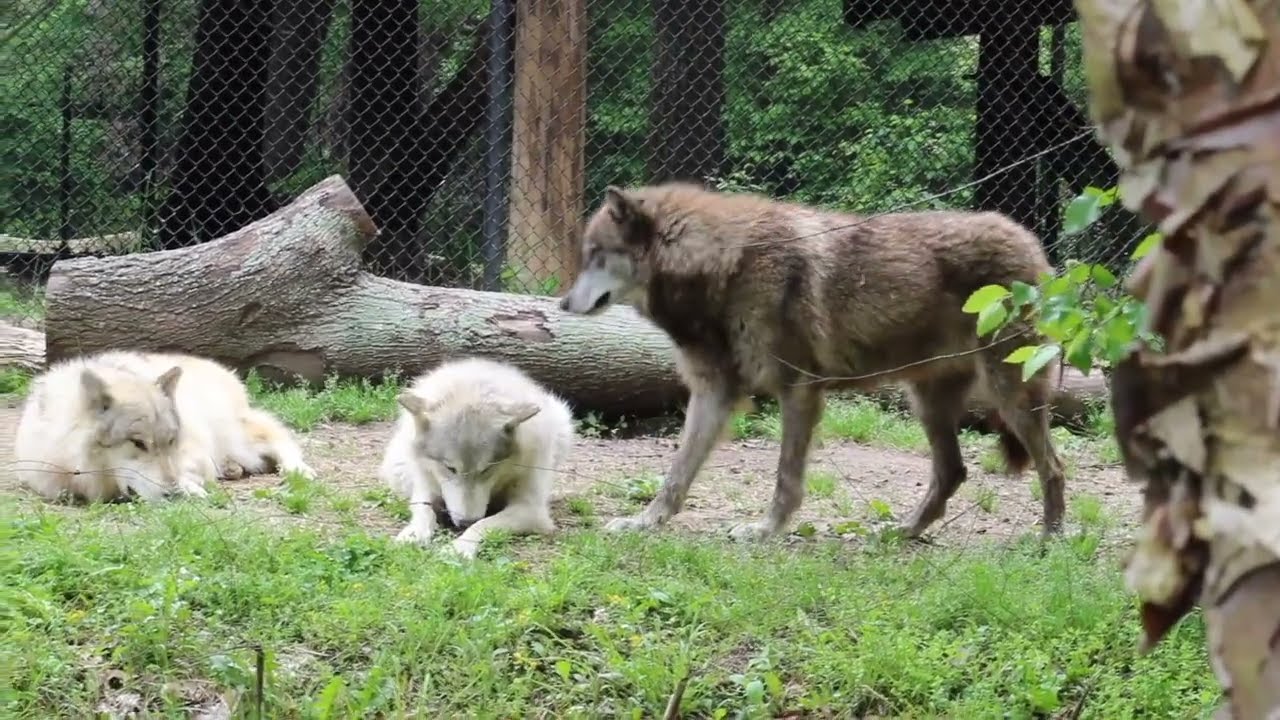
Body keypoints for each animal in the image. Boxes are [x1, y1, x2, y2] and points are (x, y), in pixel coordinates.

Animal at [14, 350, 316, 503]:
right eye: (138, 443)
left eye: (170, 442)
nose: (173, 494)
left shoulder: (194, 451)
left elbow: (188, 469)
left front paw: (191, 486)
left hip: (240, 439)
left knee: (279, 436)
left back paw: (299, 470)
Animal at [378, 356, 576, 559]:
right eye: (450, 468)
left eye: (487, 469)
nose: (465, 522)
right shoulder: (426, 485)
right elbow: (423, 509)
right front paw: (414, 533)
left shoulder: (531, 510)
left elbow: (483, 524)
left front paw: (459, 547)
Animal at [559, 182, 1067, 542]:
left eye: (594, 255)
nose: (563, 304)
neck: (725, 266)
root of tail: (1031, 240)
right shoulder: (713, 394)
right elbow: (677, 472)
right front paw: (644, 522)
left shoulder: (798, 390)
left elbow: (786, 476)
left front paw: (765, 530)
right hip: (928, 402)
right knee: (953, 472)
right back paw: (902, 532)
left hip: (1010, 394)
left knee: (1054, 468)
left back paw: (1049, 540)